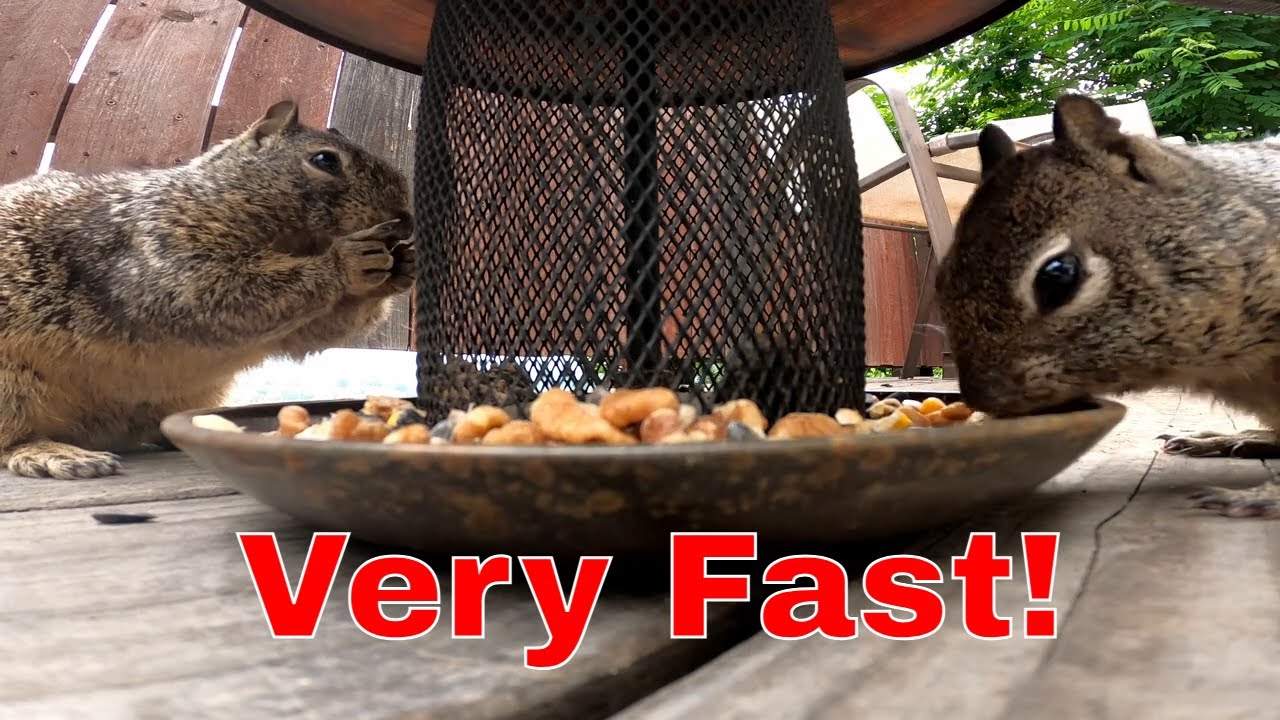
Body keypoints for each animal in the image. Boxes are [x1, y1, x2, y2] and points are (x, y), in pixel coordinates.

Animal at [0, 100, 416, 480]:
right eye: (325, 160)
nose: (406, 221)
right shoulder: (157, 254)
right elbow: (217, 294)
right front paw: (344, 262)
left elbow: (313, 332)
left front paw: (399, 270)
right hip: (9, 385)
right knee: (12, 441)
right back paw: (54, 452)